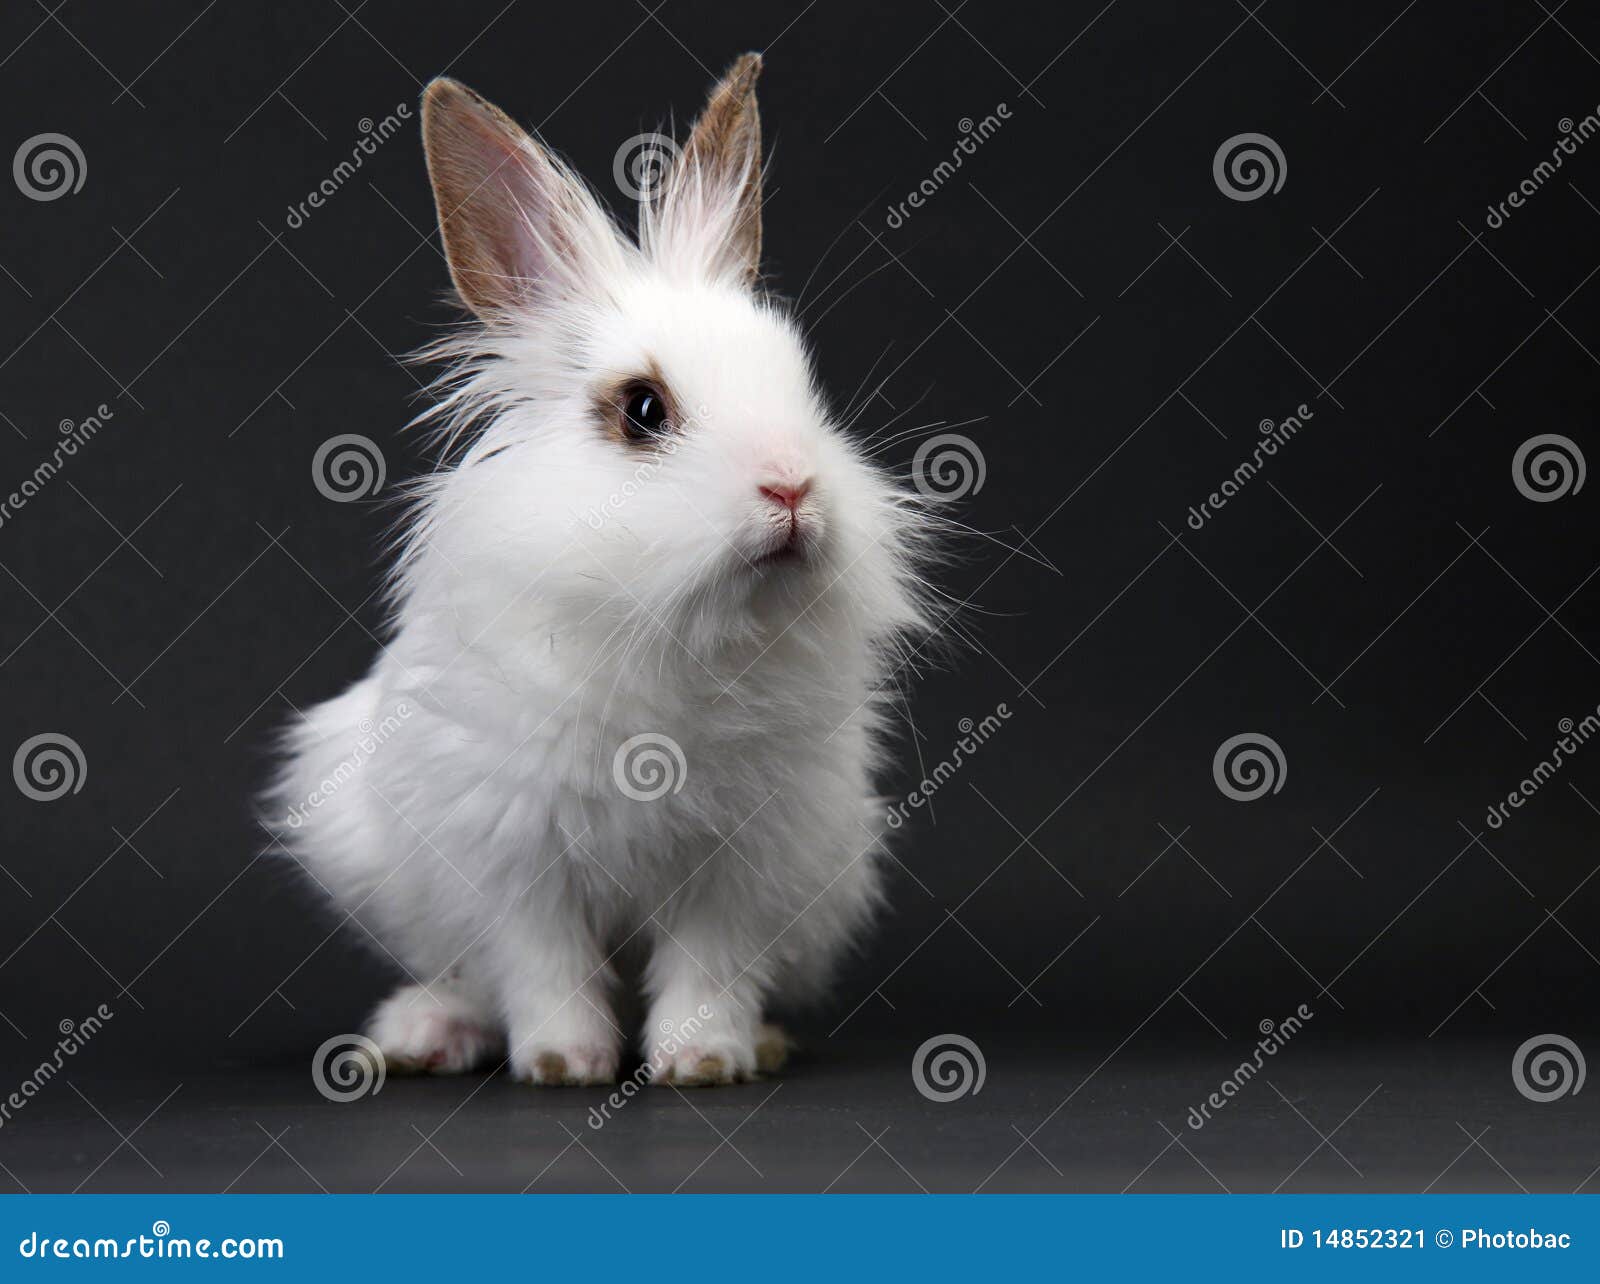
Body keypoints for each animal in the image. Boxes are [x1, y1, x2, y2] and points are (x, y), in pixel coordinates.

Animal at [269, 54, 934, 1086]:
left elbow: (708, 968)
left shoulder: (740, 865)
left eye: (804, 388)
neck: (676, 626)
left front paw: (704, 1062)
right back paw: (426, 1034)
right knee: (463, 976)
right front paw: (562, 1062)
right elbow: (543, 965)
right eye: (643, 410)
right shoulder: (515, 856)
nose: (792, 487)